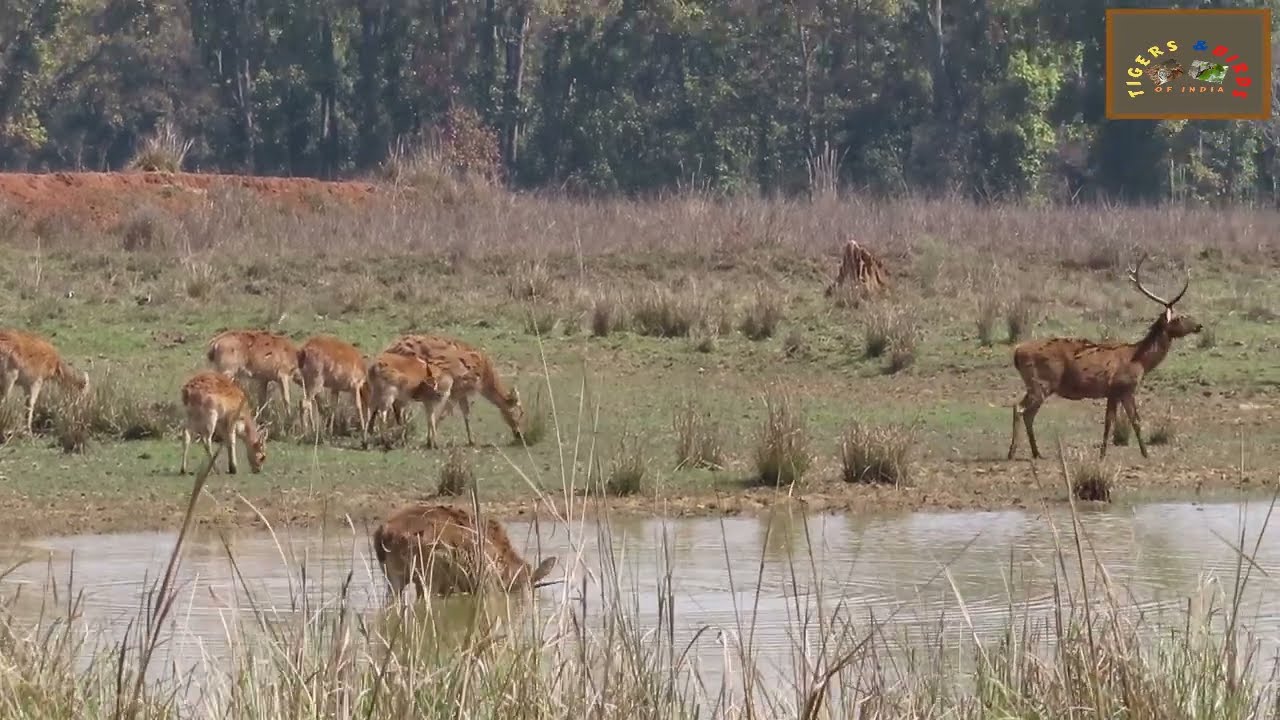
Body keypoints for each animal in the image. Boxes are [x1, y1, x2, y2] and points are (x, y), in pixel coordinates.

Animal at [382, 334, 526, 446]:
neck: (484, 377)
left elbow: (466, 413)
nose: (520, 434)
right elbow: (443, 414)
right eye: (520, 412)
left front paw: (471, 440)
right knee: (399, 406)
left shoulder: (461, 392)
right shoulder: (457, 388)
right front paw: (431, 440)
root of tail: (389, 347)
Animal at [1007, 255, 1202, 461]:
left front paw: (1102, 454)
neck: (1140, 360)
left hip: (1037, 385)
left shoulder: (1112, 392)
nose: (1199, 326)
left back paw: (1037, 452)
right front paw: (1145, 453)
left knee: (1027, 413)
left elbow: (1109, 422)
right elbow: (1135, 421)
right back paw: (1012, 452)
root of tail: (1017, 353)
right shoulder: (1125, 387)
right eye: (1179, 317)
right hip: (1041, 382)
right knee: (1019, 409)